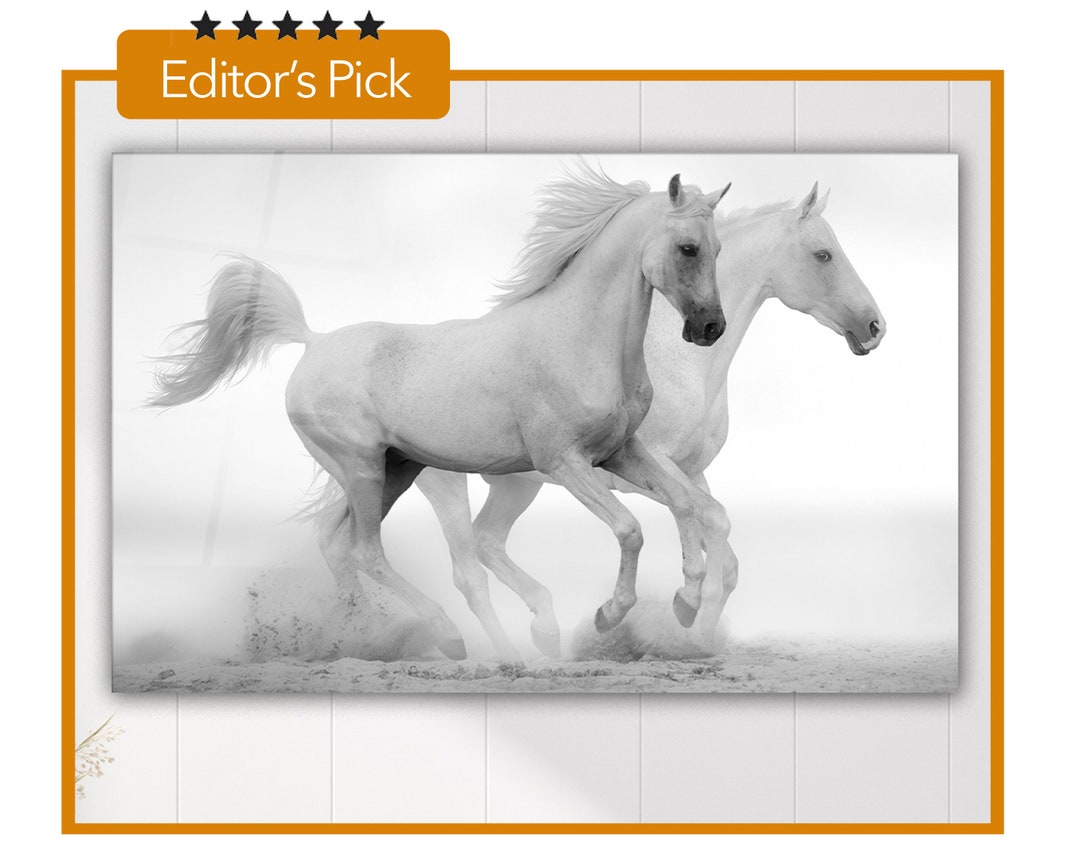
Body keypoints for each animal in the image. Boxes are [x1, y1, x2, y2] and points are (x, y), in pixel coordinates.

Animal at [149, 164, 732, 661]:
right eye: (687, 248)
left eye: (718, 249)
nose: (710, 328)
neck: (582, 340)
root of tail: (312, 342)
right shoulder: (562, 463)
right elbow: (631, 528)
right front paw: (609, 613)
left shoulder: (621, 452)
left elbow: (684, 502)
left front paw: (684, 603)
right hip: (363, 469)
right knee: (366, 552)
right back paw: (450, 638)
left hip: (393, 470)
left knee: (335, 543)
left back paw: (359, 637)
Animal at [404, 183, 886, 659]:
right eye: (823, 254)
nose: (875, 326)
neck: (684, 365)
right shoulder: (646, 469)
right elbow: (712, 520)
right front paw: (686, 618)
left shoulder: (691, 470)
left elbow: (724, 557)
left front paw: (695, 635)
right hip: (447, 484)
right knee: (468, 573)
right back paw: (489, 648)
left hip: (516, 485)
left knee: (488, 541)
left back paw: (545, 631)